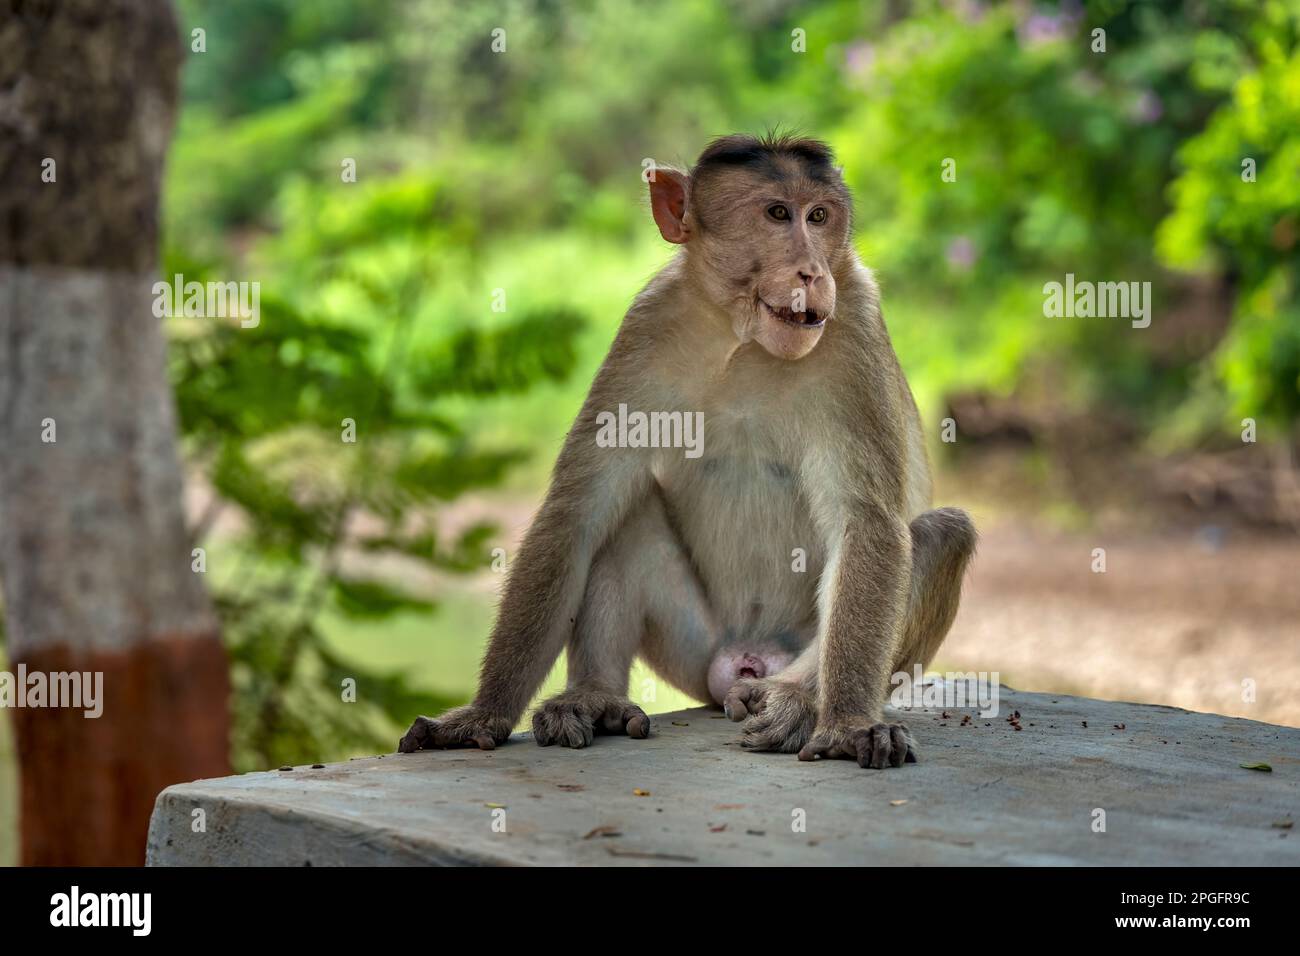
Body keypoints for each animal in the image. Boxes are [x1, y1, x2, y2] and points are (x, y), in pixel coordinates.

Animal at [399, 133, 976, 769]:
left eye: (820, 217)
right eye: (778, 214)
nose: (813, 270)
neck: (743, 338)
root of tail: (744, 659)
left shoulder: (857, 325)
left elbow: (867, 522)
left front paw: (848, 723)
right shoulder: (648, 324)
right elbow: (575, 512)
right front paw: (484, 714)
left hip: (789, 646)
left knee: (941, 535)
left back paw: (793, 699)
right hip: (695, 652)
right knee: (621, 520)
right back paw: (595, 697)